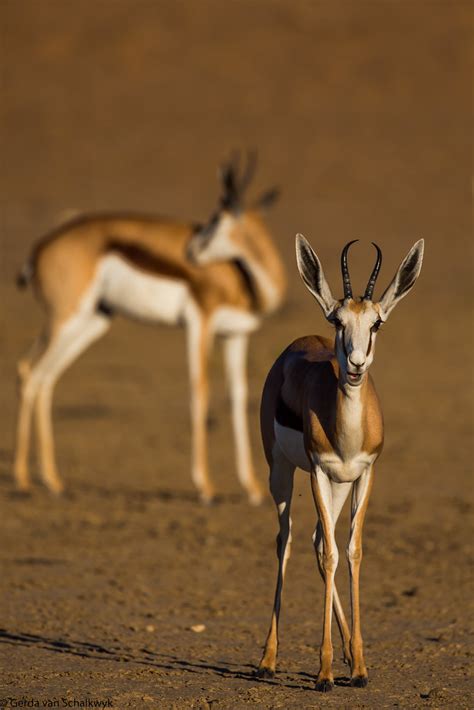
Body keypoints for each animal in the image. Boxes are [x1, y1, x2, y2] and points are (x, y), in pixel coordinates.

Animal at [13, 153, 286, 504]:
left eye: (215, 219)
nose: (191, 250)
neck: (242, 279)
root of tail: (39, 251)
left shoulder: (236, 334)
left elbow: (237, 397)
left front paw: (251, 488)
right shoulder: (199, 323)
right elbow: (200, 390)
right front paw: (205, 486)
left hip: (92, 321)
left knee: (42, 376)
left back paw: (51, 480)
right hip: (66, 319)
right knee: (31, 372)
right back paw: (23, 480)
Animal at [257, 235, 424, 691]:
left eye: (377, 323)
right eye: (338, 320)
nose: (355, 365)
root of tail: (296, 345)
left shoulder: (364, 474)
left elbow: (351, 552)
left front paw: (360, 667)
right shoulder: (317, 471)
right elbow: (332, 555)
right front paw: (324, 673)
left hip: (340, 485)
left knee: (319, 541)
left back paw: (349, 657)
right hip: (282, 473)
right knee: (286, 540)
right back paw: (268, 660)